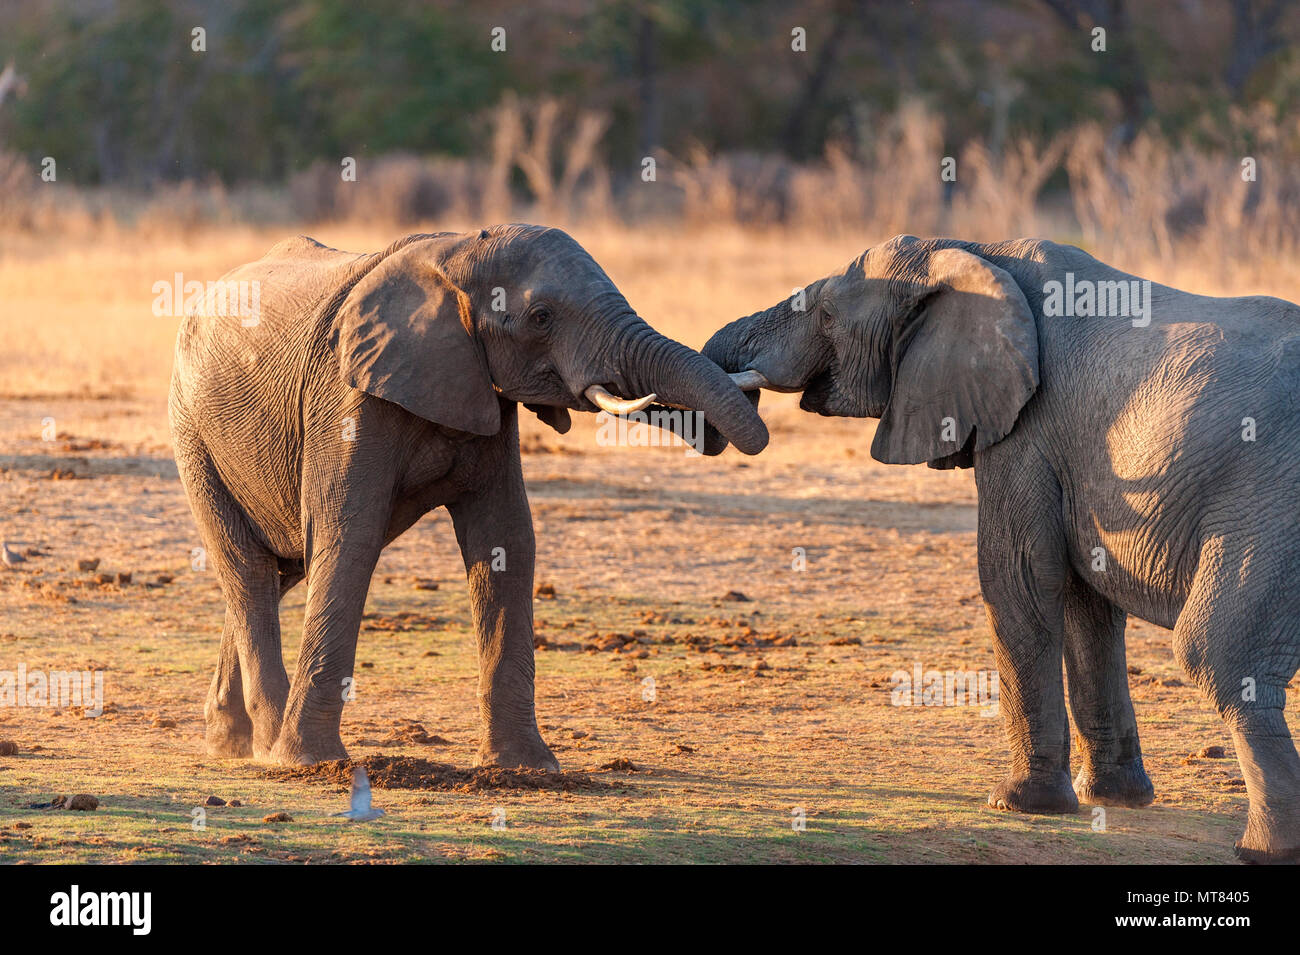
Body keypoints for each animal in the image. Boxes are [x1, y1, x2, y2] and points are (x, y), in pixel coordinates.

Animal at [169, 224, 768, 769]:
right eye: (541, 317)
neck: (457, 254)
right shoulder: (345, 398)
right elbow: (347, 538)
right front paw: (309, 764)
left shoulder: (484, 392)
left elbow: (506, 539)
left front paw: (526, 769)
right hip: (192, 430)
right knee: (250, 570)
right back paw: (267, 747)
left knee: (281, 570)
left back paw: (231, 742)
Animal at [703, 233, 1300, 863]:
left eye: (823, 314)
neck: (971, 249)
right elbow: (1085, 601)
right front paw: (1112, 800)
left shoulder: (1027, 429)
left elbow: (1018, 579)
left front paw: (1018, 806)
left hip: (1269, 505)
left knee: (1219, 657)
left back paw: (1263, 850)